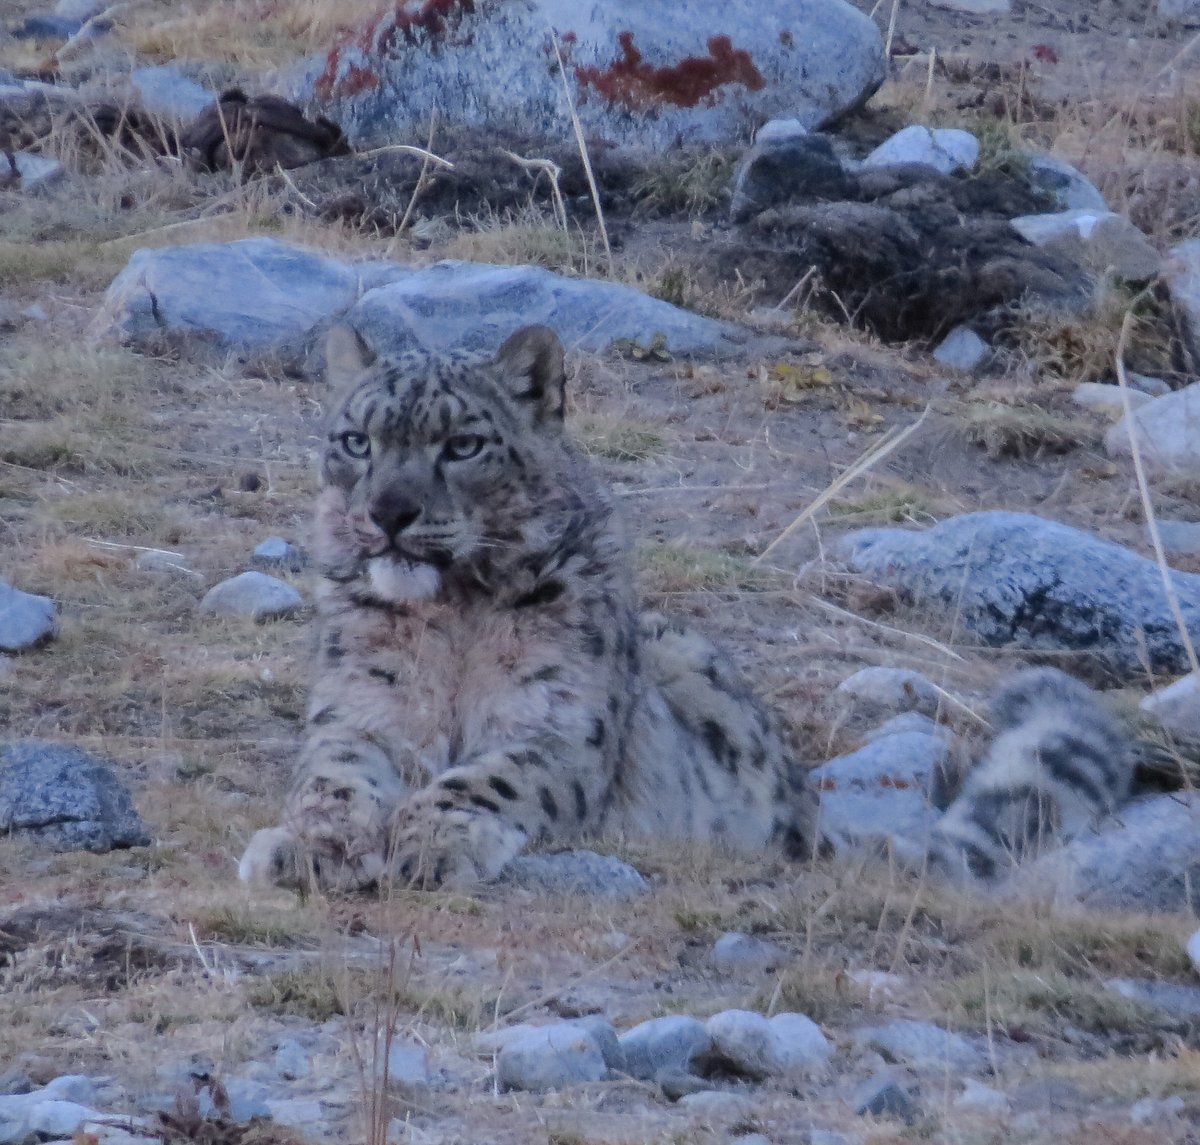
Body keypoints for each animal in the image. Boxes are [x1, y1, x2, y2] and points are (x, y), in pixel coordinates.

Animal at [238, 323, 824, 891]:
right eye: (357, 441)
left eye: (463, 445)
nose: (389, 512)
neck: (453, 613)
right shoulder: (361, 709)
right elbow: (334, 775)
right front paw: (311, 846)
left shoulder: (556, 721)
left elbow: (487, 781)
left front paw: (430, 846)